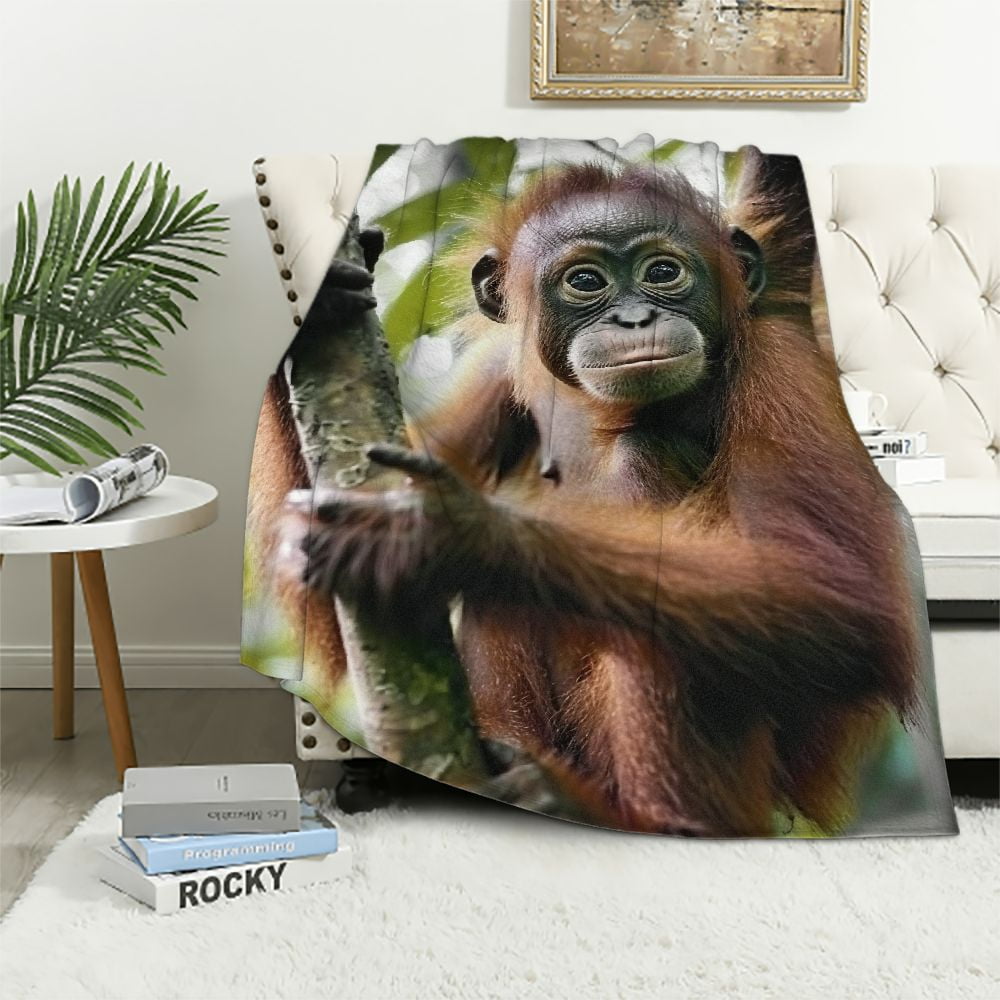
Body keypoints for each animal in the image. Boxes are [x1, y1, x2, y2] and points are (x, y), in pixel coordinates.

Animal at [277, 160, 924, 837]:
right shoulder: (490, 378)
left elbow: (844, 595)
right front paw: (315, 306)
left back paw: (614, 814)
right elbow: (330, 627)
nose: (634, 321)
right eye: (585, 281)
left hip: (739, 800)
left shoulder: (783, 367)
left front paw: (449, 534)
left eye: (662, 273)